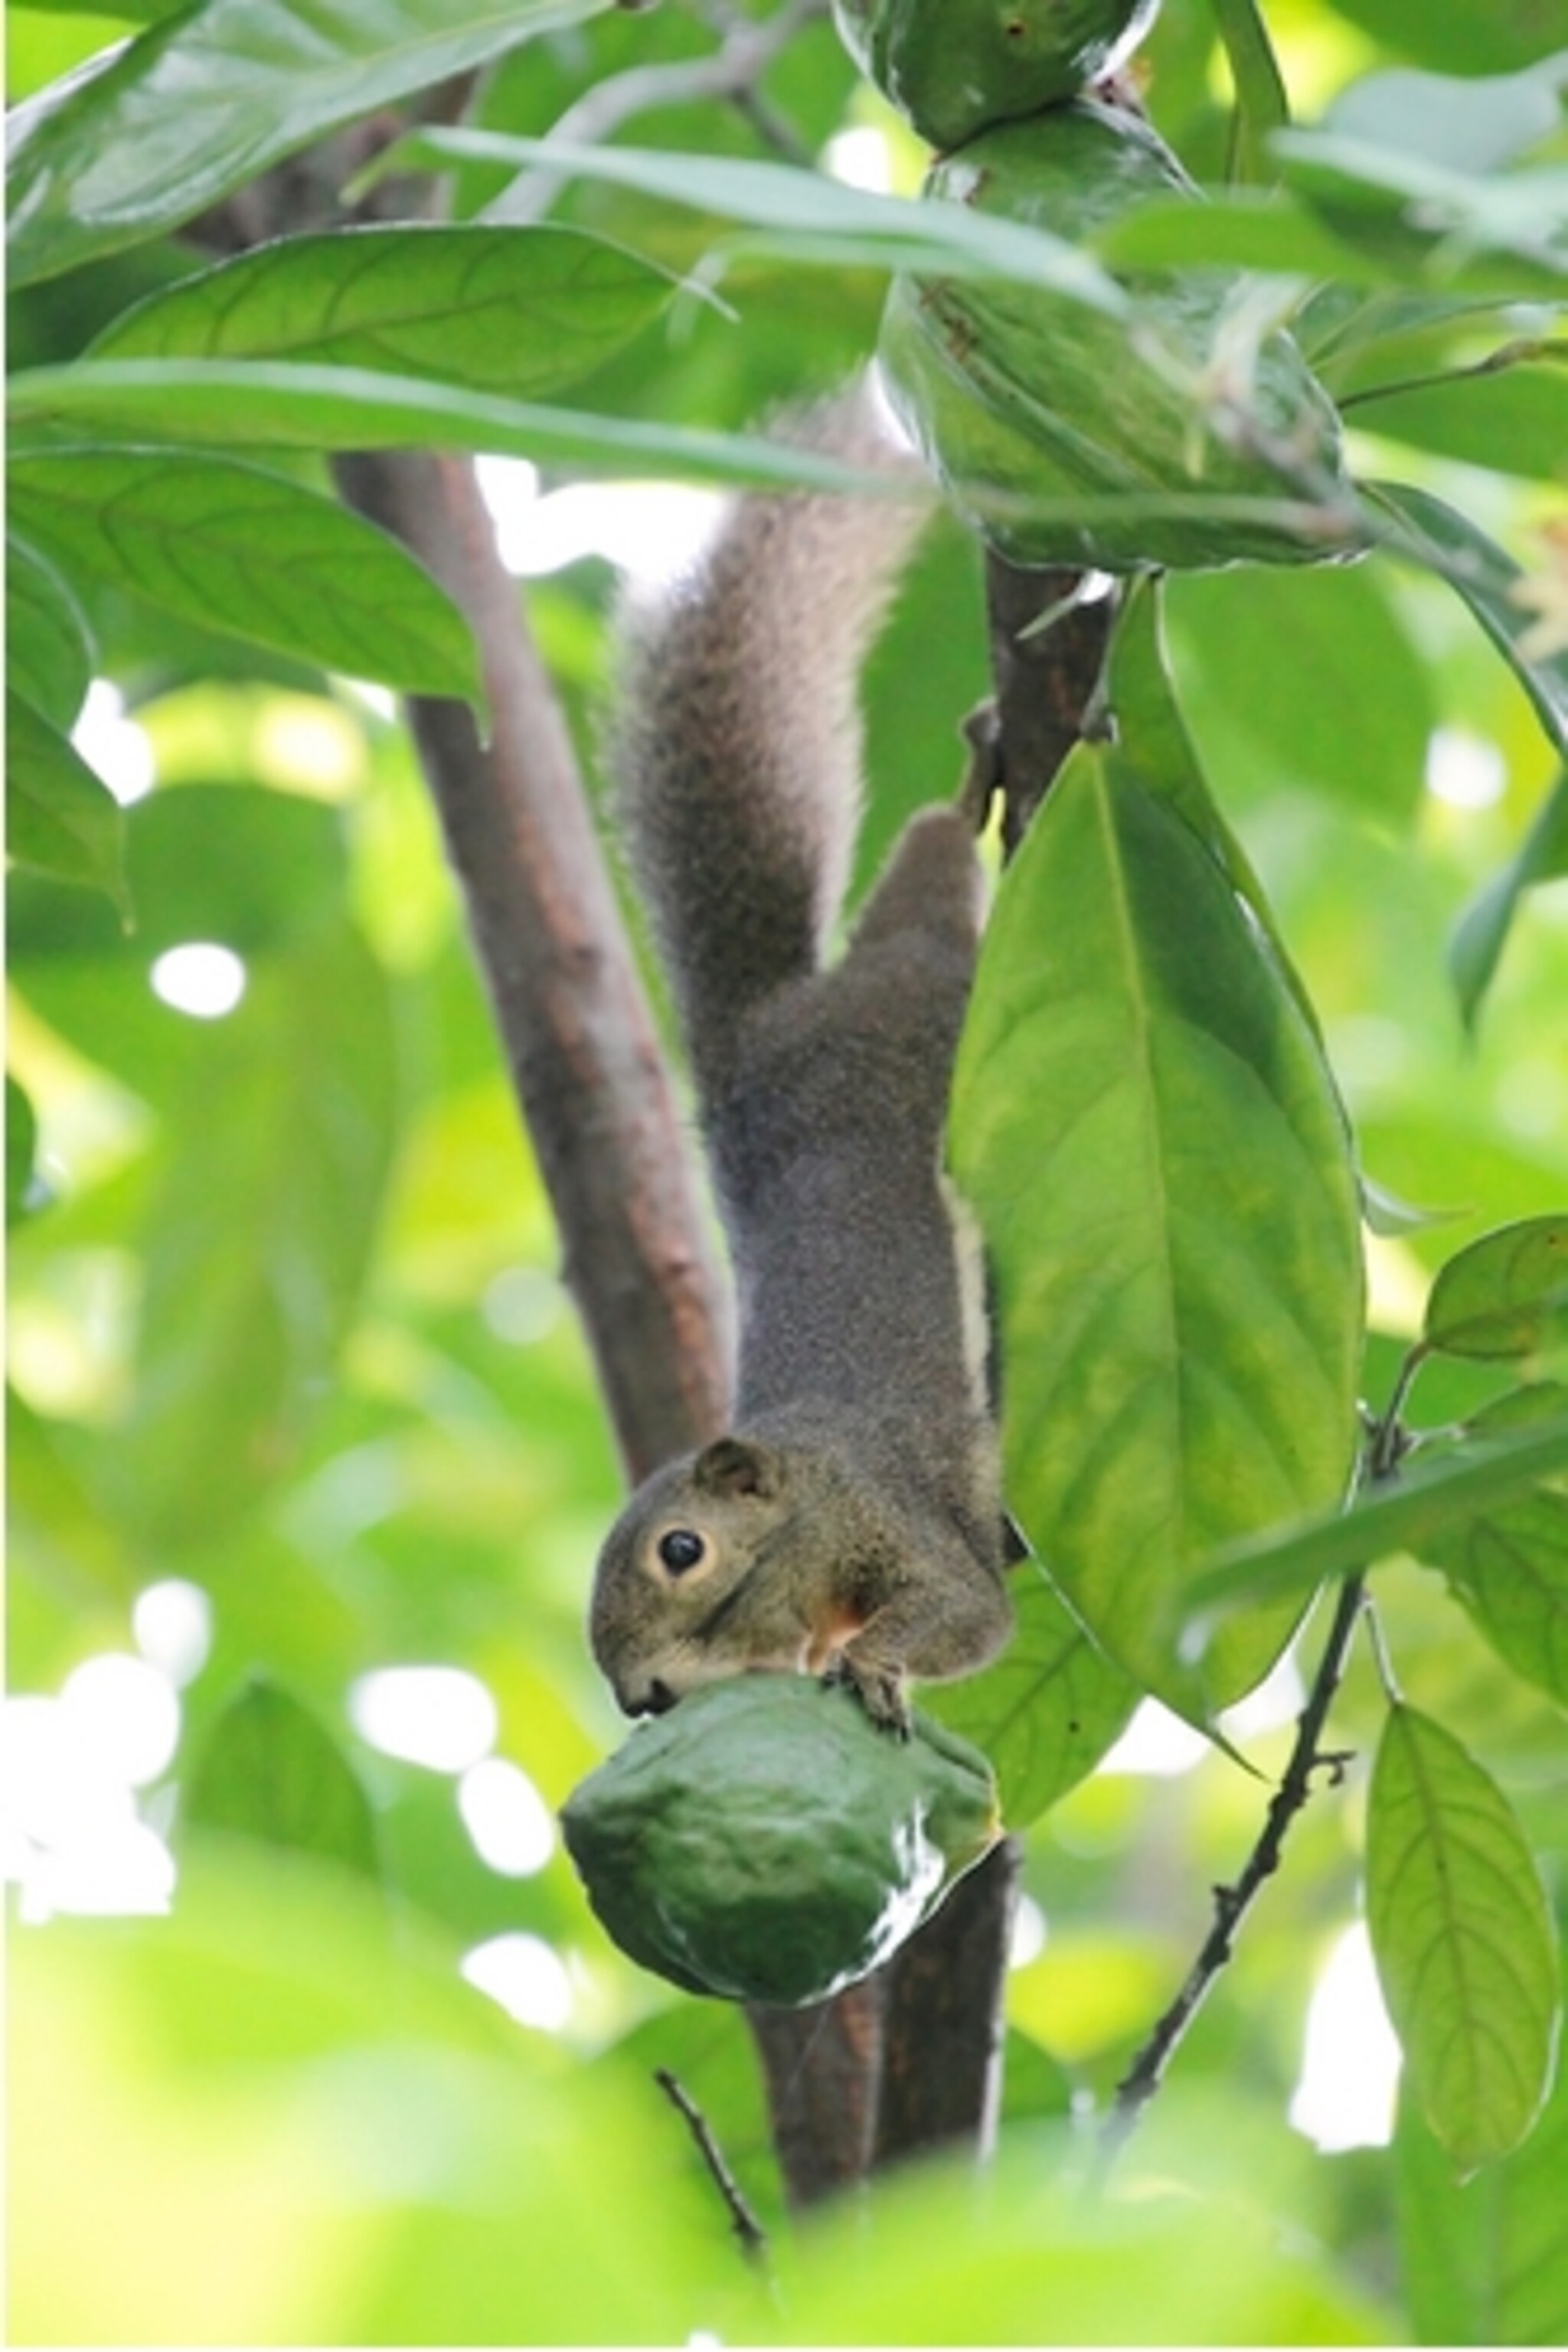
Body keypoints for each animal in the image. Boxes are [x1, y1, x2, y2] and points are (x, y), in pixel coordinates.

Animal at [589, 384, 1014, 1733]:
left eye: (682, 1551)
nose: (642, 1699)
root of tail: (759, 1048)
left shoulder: (895, 1518)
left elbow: (969, 1618)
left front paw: (877, 1663)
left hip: (931, 1008)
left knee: (933, 892)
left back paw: (974, 787)